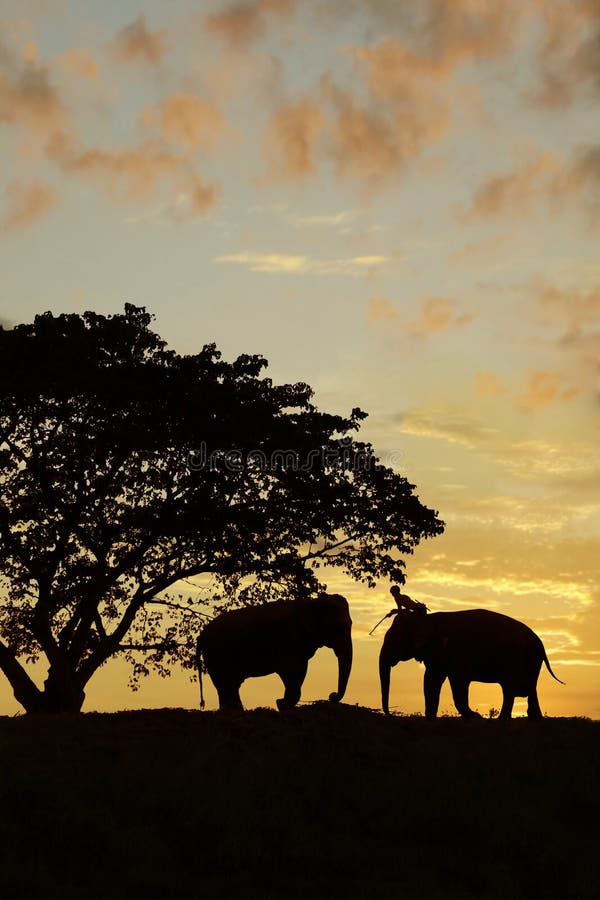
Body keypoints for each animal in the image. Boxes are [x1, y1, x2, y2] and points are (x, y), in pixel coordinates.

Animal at [196, 593, 353, 711]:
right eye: (339, 628)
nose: (331, 695)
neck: (311, 602)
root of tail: (201, 635)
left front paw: (281, 704)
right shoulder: (289, 639)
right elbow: (292, 670)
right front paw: (282, 704)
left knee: (231, 684)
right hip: (216, 654)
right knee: (226, 683)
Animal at [379, 608, 563, 719]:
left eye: (393, 639)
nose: (392, 715)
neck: (428, 618)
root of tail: (540, 643)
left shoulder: (457, 651)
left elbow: (459, 680)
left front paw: (475, 717)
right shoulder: (436, 655)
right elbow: (431, 679)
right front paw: (430, 717)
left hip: (521, 658)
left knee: (512, 689)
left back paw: (503, 720)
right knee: (523, 688)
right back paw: (533, 719)